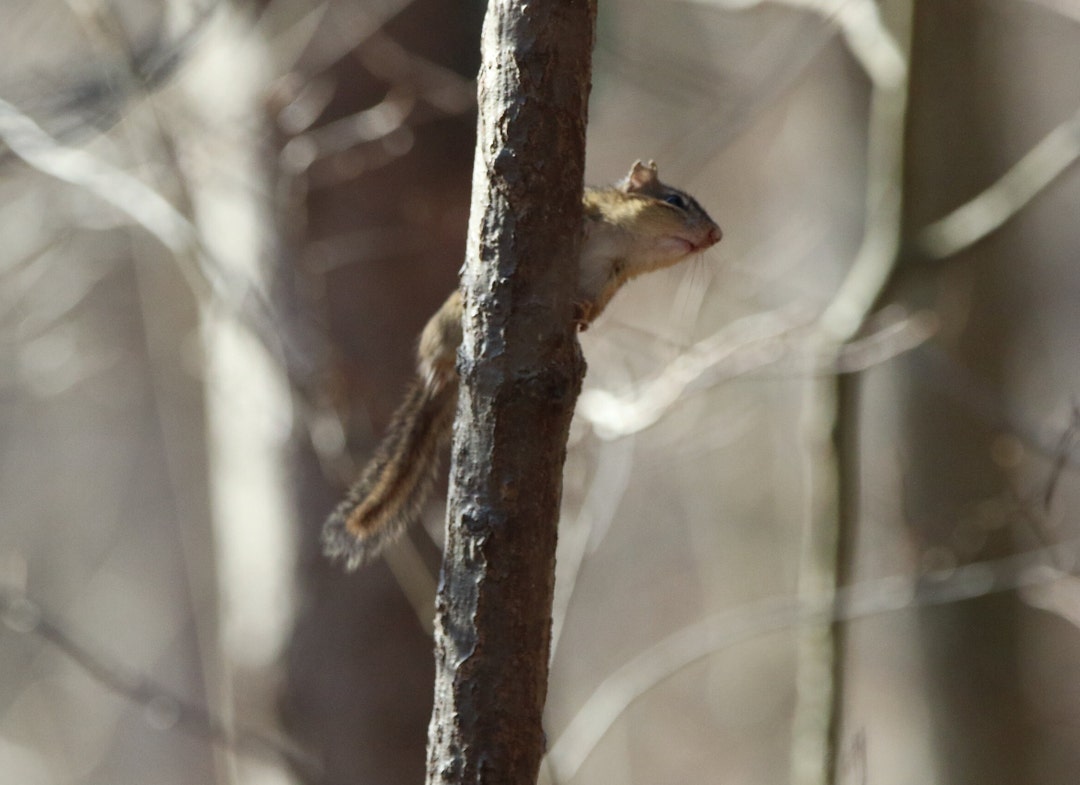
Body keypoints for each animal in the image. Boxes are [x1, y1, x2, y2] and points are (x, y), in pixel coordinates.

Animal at [322, 160, 722, 569]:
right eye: (675, 201)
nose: (716, 235)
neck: (622, 242)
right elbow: (586, 211)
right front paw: (582, 222)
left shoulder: (607, 283)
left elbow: (591, 309)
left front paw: (580, 316)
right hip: (445, 323)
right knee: (433, 355)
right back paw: (437, 367)